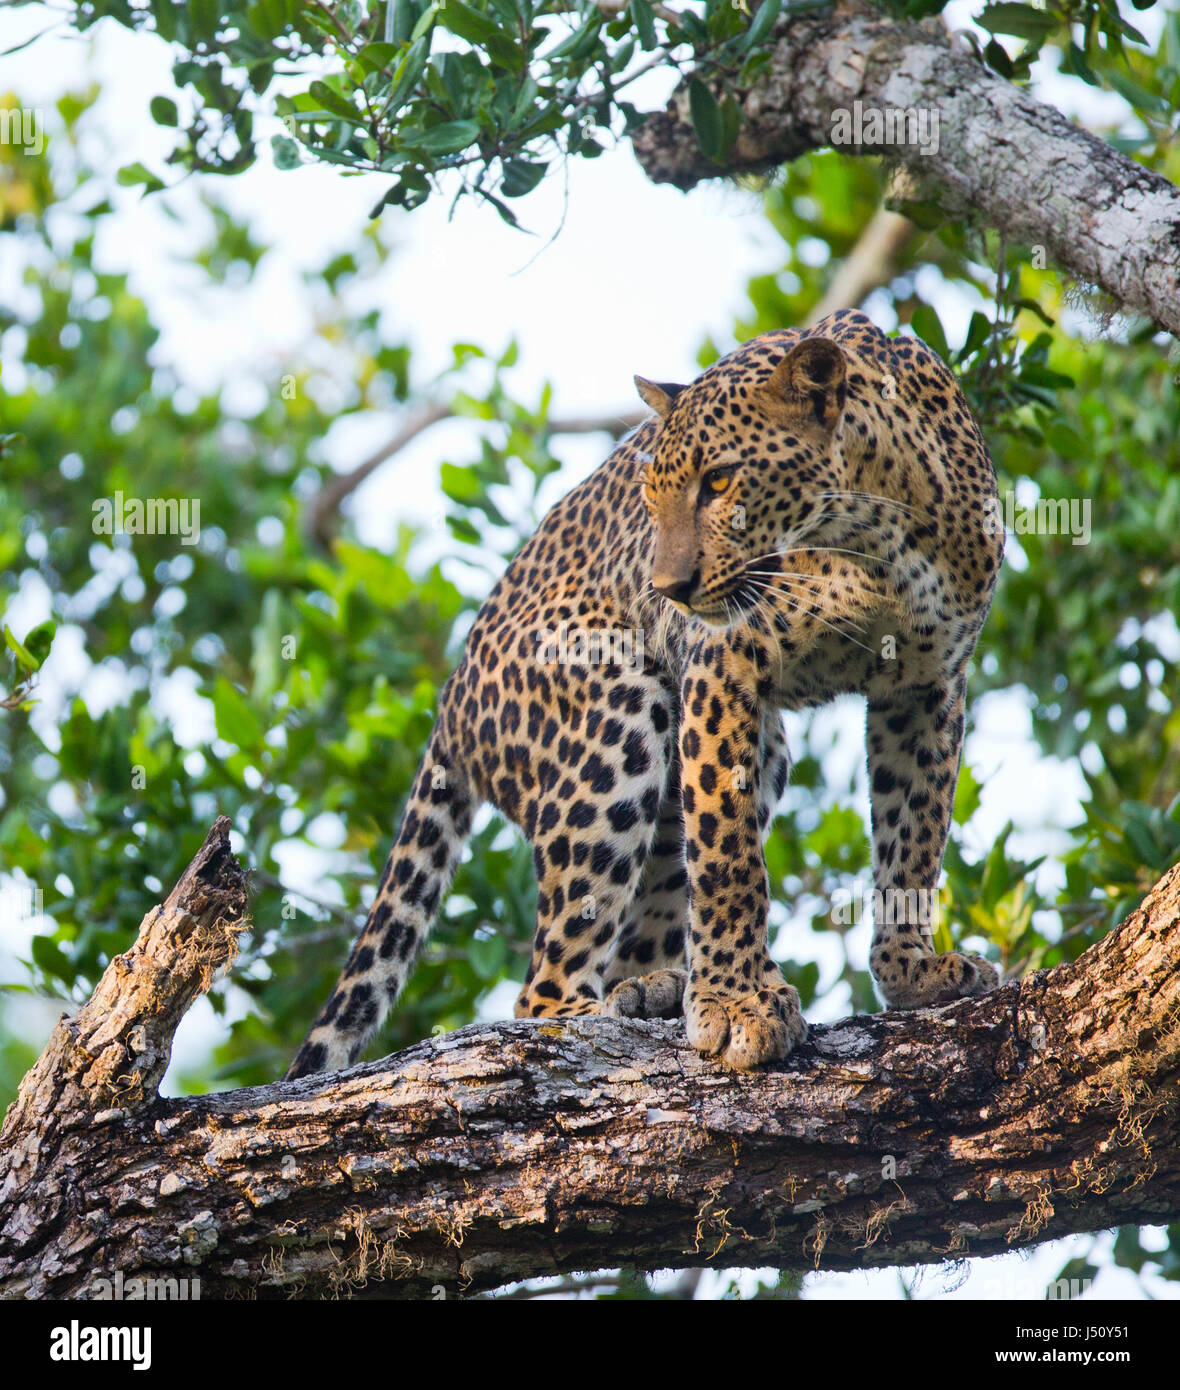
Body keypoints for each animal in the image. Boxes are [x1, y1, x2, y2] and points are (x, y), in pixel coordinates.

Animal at [286, 308, 1003, 1080]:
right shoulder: (723, 660)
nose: (669, 591)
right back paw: (597, 1010)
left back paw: (650, 989)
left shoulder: (928, 685)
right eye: (651, 497)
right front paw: (738, 1005)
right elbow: (727, 858)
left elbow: (914, 837)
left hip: (750, 752)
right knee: (540, 989)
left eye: (719, 481)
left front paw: (910, 972)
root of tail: (450, 700)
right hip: (618, 712)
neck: (881, 533)